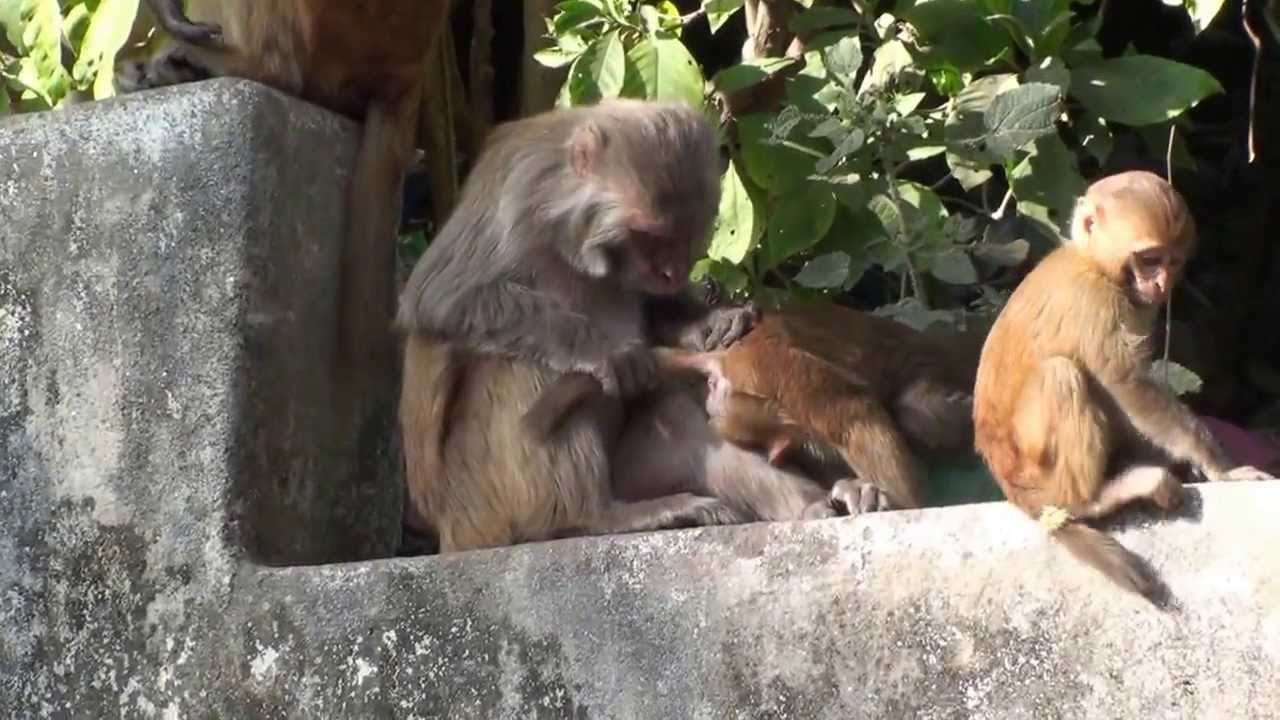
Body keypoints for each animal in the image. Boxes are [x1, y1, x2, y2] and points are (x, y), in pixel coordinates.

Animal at [396, 99, 892, 552]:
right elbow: (443, 296)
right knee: (524, 366)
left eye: (684, 236)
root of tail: (452, 533)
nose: (672, 274)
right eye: (649, 236)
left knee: (676, 407)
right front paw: (605, 351)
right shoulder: (516, 192)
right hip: (483, 502)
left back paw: (817, 502)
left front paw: (711, 323)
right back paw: (591, 517)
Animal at [972, 170, 1269, 602]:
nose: (1161, 284)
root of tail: (1008, 481)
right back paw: (1091, 501)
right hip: (1034, 465)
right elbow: (1126, 383)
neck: (1093, 262)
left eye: (1172, 261)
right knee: (1062, 374)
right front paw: (1221, 468)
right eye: (1149, 259)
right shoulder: (1097, 301)